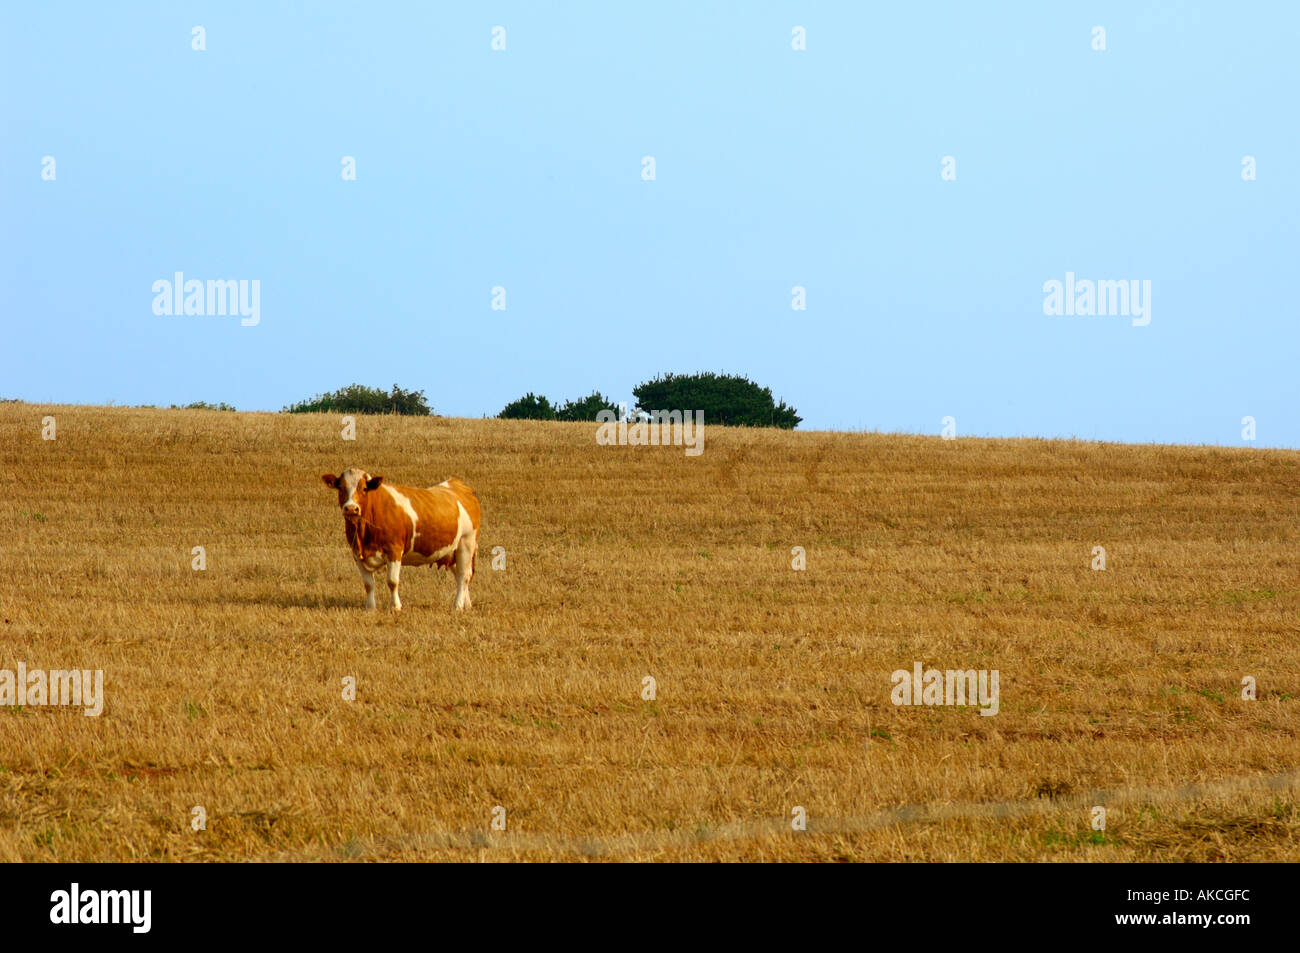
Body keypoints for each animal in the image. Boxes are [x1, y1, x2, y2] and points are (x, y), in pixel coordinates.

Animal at [322, 467, 481, 612]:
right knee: (462, 575)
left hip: (466, 543)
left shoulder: (394, 550)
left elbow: (392, 581)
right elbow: (368, 584)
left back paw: (457, 606)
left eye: (365, 489)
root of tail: (457, 484)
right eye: (341, 488)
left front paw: (395, 607)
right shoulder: (357, 554)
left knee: (463, 576)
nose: (351, 508)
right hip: (452, 551)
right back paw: (466, 604)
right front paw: (370, 608)